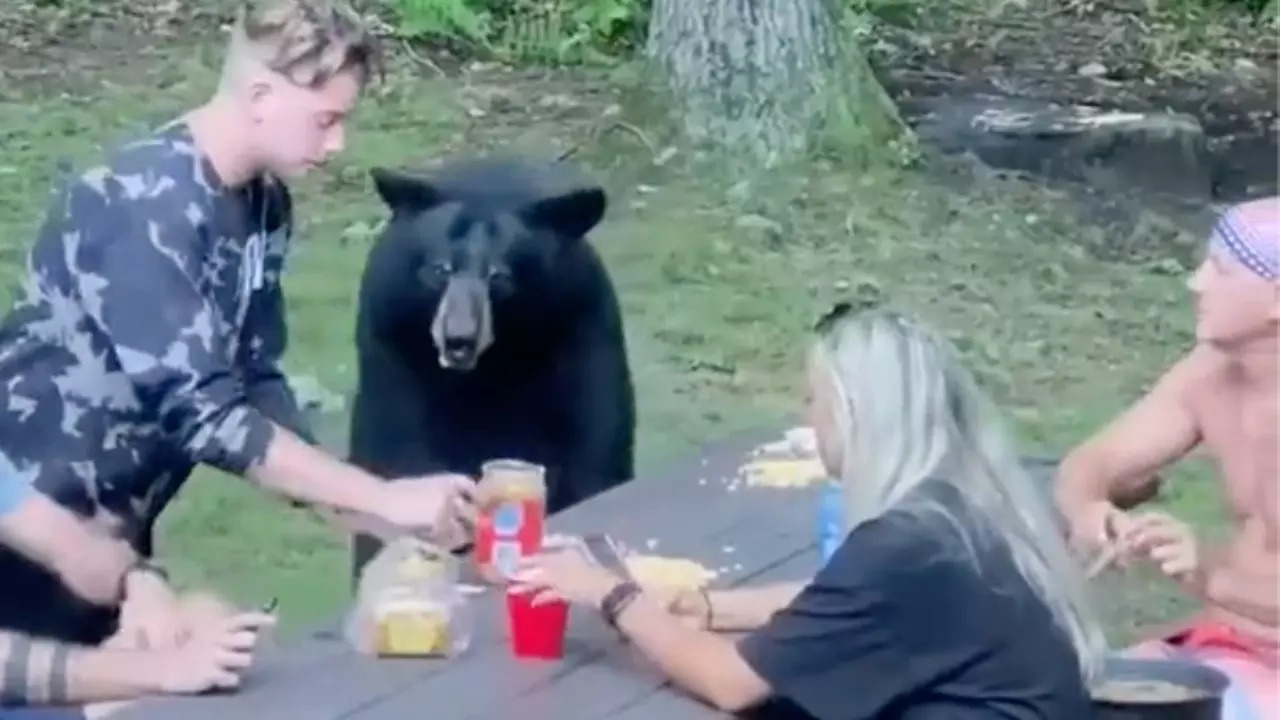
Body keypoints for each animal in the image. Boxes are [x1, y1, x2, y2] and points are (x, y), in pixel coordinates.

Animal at [347, 155, 637, 577]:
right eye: (439, 269)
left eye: (500, 276)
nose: (458, 339)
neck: (493, 366)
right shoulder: (392, 344)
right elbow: (402, 448)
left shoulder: (582, 332)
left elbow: (593, 452)